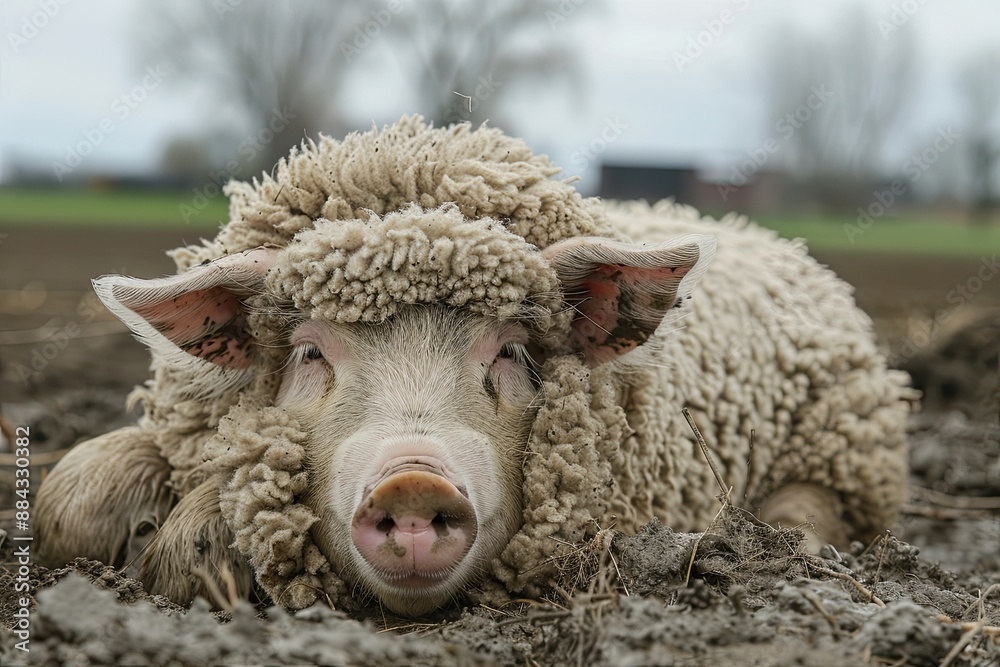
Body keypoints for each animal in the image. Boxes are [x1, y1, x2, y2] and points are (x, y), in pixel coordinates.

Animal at [35, 115, 913, 616]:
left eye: (514, 350)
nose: (411, 482)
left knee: (815, 512)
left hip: (847, 447)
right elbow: (67, 501)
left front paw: (191, 553)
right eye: (312, 350)